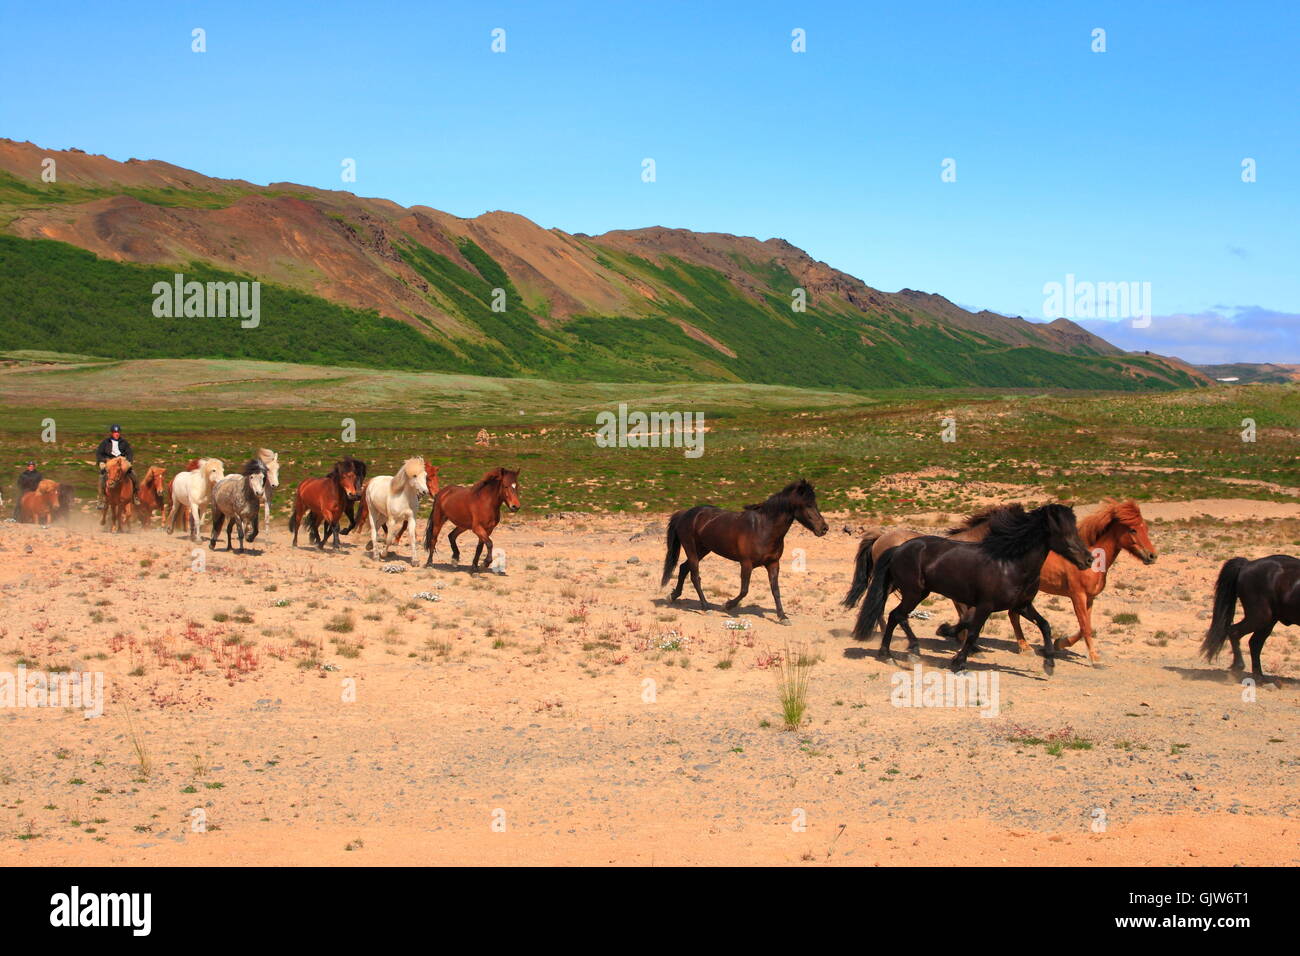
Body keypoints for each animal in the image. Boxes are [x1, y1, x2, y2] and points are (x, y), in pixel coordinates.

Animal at [661, 479, 829, 622]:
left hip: (703, 549)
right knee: (695, 576)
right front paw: (727, 606)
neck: (763, 529)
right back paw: (706, 607)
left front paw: (783, 617)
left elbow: (775, 590)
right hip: (691, 549)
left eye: (815, 503)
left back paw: (673, 596)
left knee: (683, 568)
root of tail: (684, 513)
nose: (824, 528)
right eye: (807, 504)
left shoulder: (773, 564)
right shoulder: (746, 564)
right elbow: (744, 590)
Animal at [847, 500, 1159, 663]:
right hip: (907, 588)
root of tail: (887, 539)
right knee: (889, 611)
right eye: (1133, 529)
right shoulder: (1077, 596)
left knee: (890, 612)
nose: (1151, 555)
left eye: (1145, 527)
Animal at [1201, 554, 1300, 684]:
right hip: (1260, 617)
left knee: (1255, 643)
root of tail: (1247, 564)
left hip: (1268, 621)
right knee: (1235, 632)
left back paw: (1259, 678)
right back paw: (1239, 668)